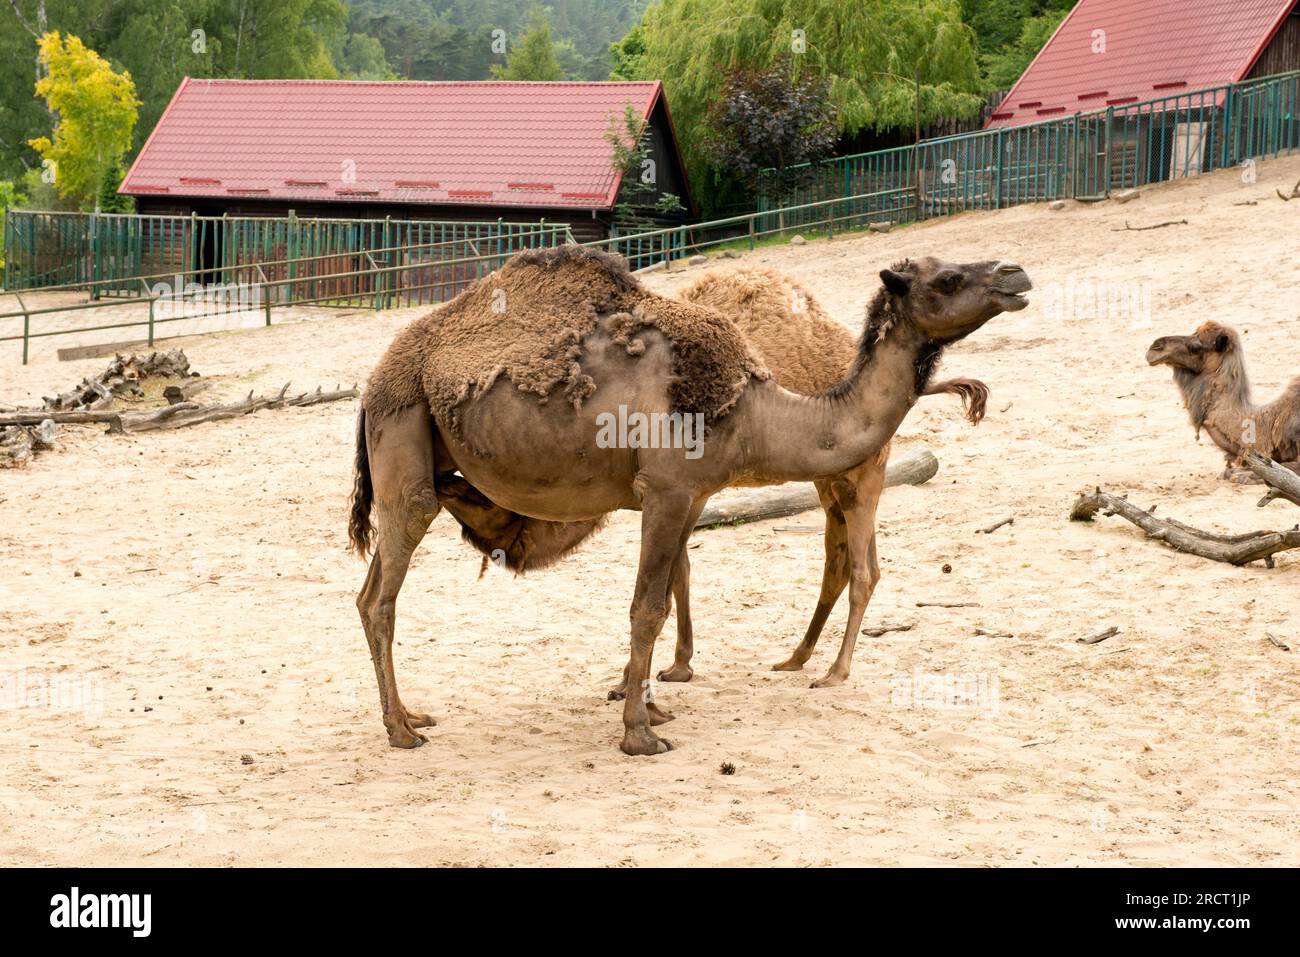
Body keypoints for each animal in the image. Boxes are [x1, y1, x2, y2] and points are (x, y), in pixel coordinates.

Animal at [349, 245, 1031, 755]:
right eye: (947, 279)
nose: (1015, 274)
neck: (756, 409)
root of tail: (375, 378)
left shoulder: (693, 494)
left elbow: (668, 589)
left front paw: (654, 708)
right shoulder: (668, 489)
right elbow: (647, 607)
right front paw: (639, 735)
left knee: (367, 590)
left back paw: (413, 714)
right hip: (403, 435)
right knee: (384, 591)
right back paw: (402, 731)